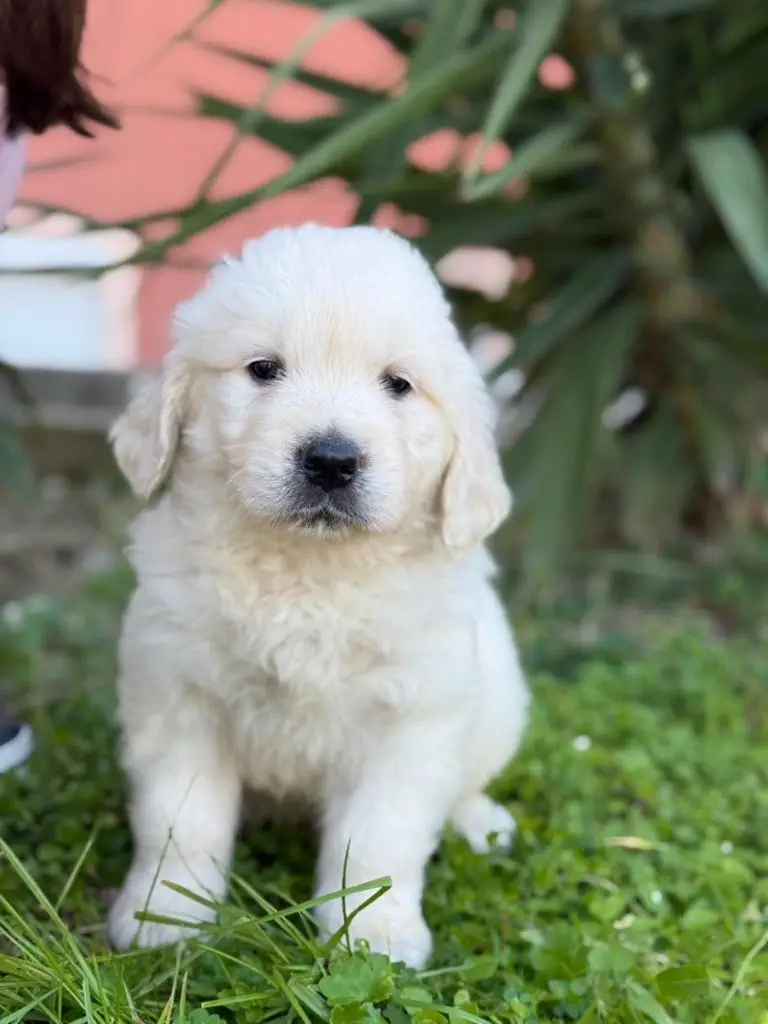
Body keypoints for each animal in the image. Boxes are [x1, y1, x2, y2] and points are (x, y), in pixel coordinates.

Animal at [107, 224, 528, 966]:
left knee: (470, 783)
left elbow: (380, 840)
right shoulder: (180, 696)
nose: (331, 460)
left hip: (500, 705)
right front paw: (165, 915)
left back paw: (481, 823)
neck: (310, 569)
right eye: (263, 369)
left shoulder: (409, 718)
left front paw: (374, 934)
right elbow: (180, 820)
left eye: (399, 385)